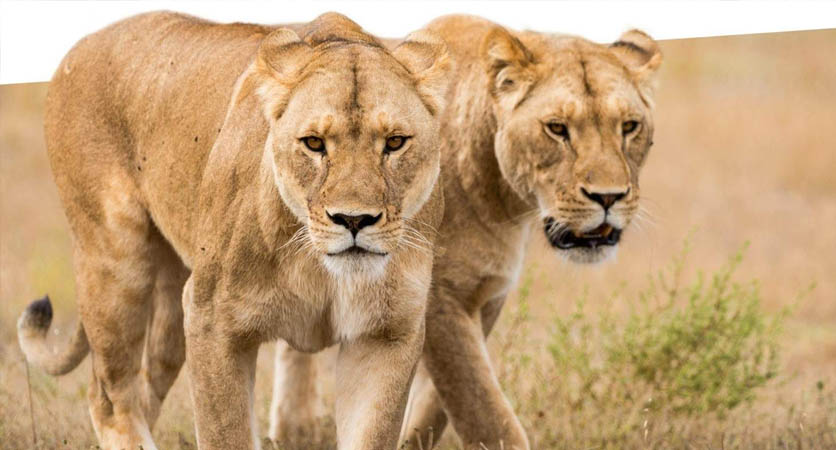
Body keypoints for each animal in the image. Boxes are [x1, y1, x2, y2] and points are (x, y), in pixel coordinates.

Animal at [16, 11, 451, 450]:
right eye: (314, 143)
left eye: (395, 142)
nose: (354, 220)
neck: (317, 266)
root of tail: (83, 42)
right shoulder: (212, 320)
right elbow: (225, 432)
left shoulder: (386, 333)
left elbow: (373, 433)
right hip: (117, 263)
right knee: (109, 397)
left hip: (173, 303)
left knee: (144, 386)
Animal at [267, 15, 663, 450]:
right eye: (557, 128)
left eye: (629, 126)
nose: (608, 196)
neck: (504, 200)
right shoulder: (438, 298)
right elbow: (485, 413)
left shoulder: (484, 296)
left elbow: (436, 405)